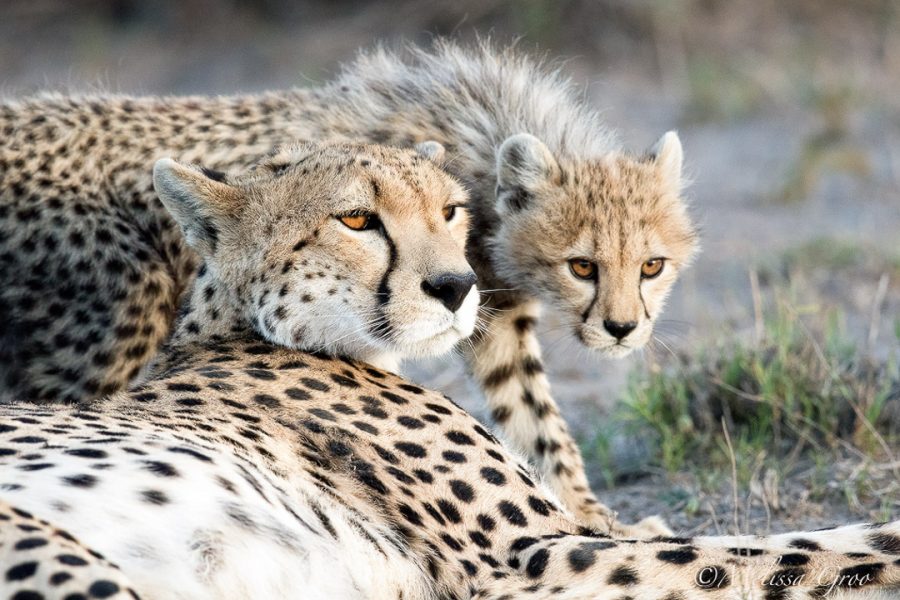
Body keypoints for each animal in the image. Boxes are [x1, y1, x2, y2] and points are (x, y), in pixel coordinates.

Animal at [0, 40, 698, 535]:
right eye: (582, 267)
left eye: (652, 266)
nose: (622, 330)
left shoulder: (490, 310)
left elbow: (535, 416)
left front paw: (592, 512)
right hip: (125, 312)